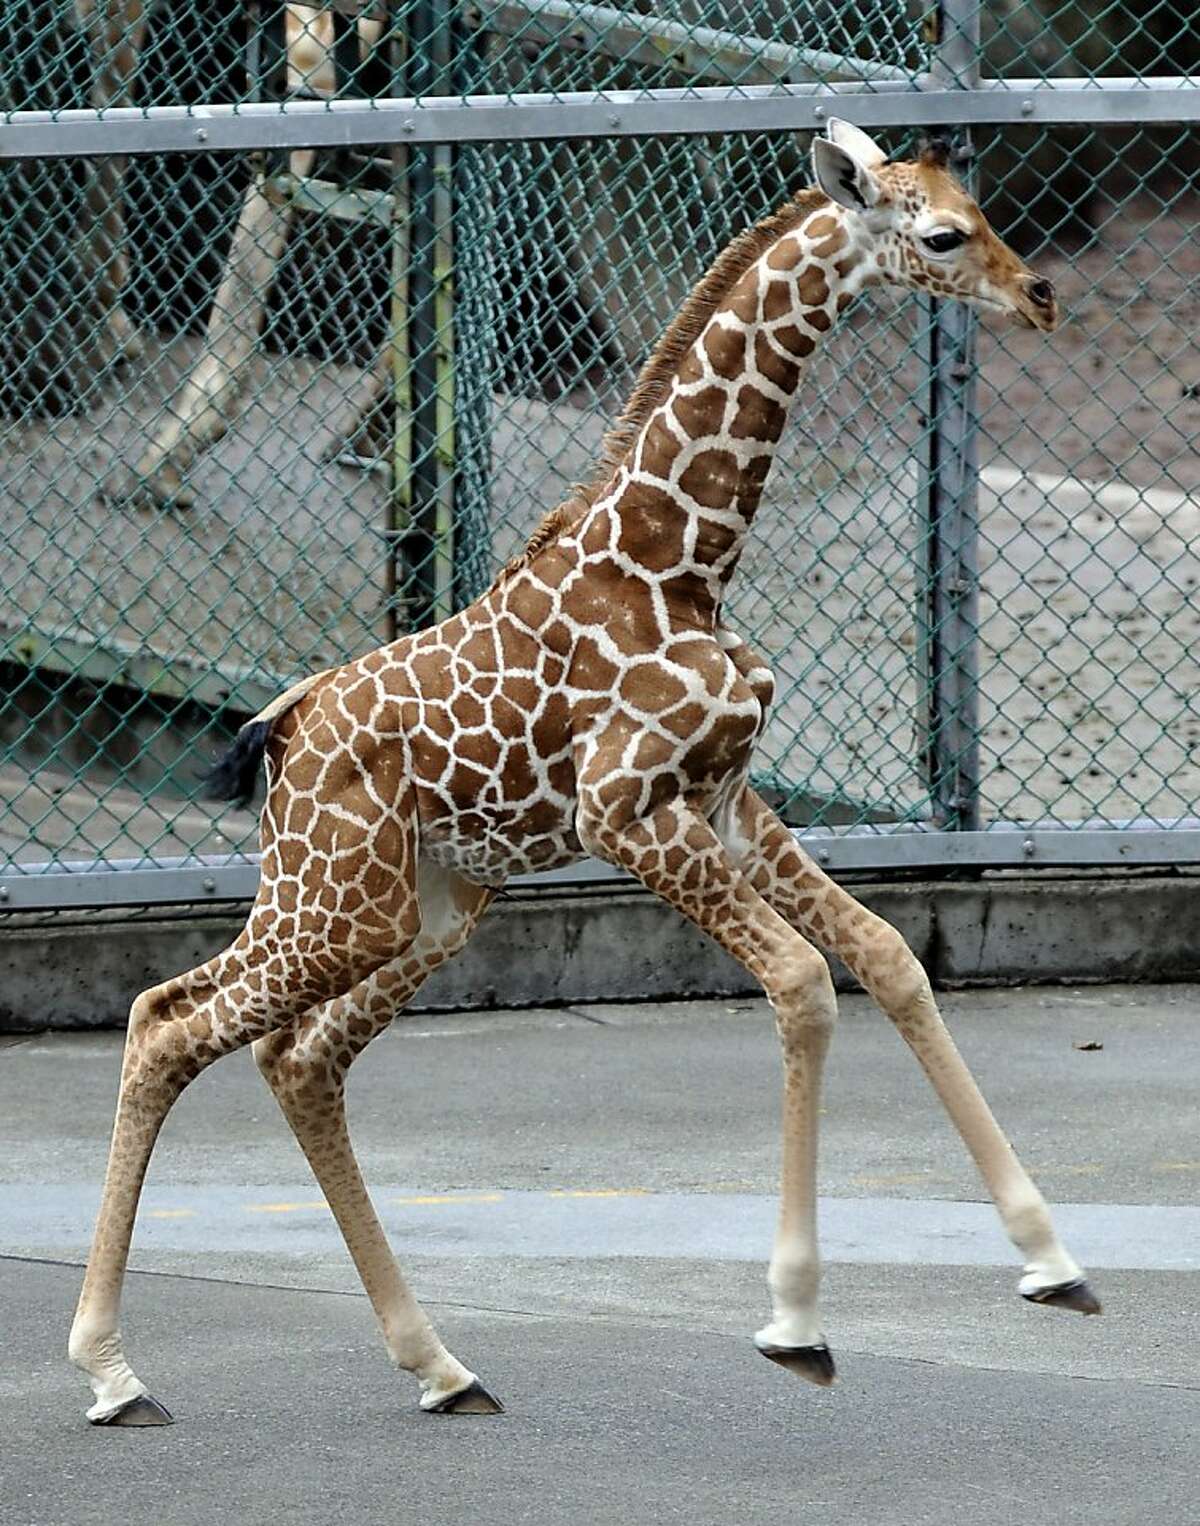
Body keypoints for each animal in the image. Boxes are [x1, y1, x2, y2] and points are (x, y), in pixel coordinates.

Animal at [69, 120, 1097, 1428]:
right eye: (944, 234)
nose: (1041, 295)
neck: (679, 557)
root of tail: (284, 731)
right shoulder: (626, 811)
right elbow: (804, 981)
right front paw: (796, 1324)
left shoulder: (727, 800)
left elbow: (888, 956)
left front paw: (1055, 1263)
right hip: (336, 899)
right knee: (168, 1021)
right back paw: (111, 1371)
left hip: (427, 908)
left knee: (294, 1056)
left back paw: (441, 1364)